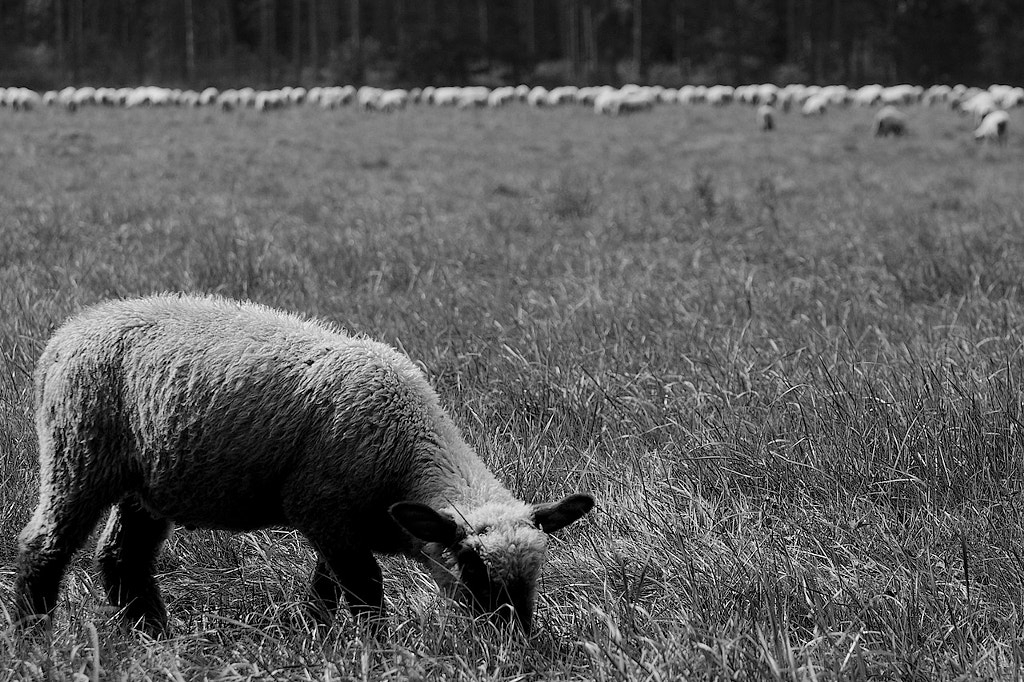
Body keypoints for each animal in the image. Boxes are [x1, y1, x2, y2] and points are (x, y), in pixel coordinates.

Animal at [12, 294, 594, 637]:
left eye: (537, 572)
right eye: (473, 567)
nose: (516, 642)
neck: (406, 452)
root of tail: (67, 332)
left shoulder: (341, 521)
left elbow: (327, 586)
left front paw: (318, 635)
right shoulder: (321, 506)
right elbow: (363, 587)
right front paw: (375, 647)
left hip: (146, 483)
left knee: (122, 557)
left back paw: (153, 636)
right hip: (77, 453)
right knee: (44, 544)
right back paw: (33, 636)